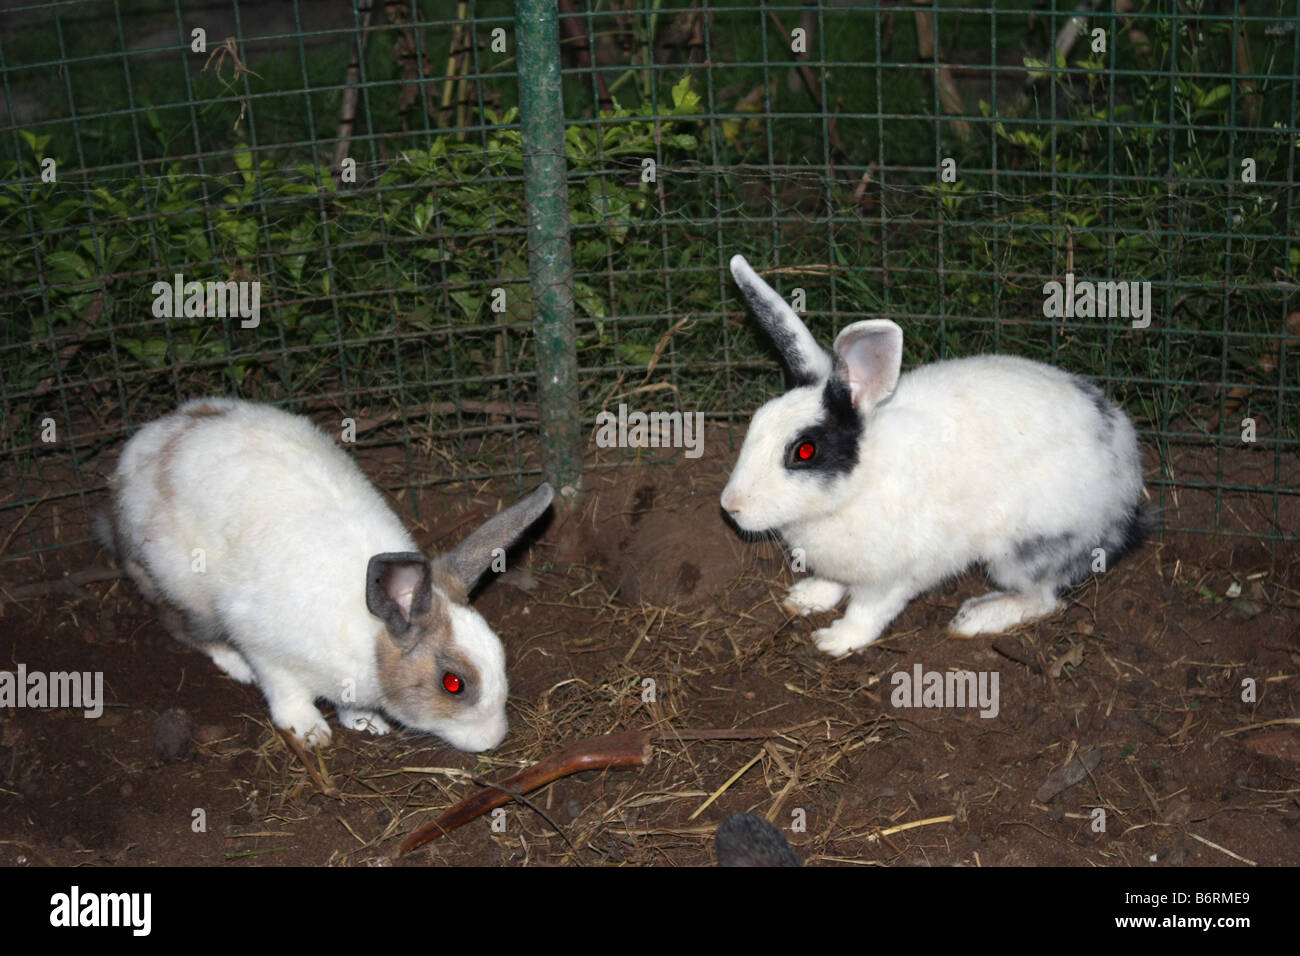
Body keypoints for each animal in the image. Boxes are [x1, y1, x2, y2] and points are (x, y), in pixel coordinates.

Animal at [100, 396, 554, 752]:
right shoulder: (266, 650)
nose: (493, 740)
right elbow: (284, 691)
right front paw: (310, 730)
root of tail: (145, 444)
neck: (372, 632)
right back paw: (234, 664)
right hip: (183, 586)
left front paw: (366, 723)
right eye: (453, 683)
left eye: (500, 654)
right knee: (180, 625)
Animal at [720, 255, 1151, 656]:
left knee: (1044, 599)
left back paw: (975, 618)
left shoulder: (893, 578)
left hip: (1024, 550)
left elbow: (867, 612)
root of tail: (1128, 477)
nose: (731, 507)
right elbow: (832, 582)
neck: (856, 488)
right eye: (756, 422)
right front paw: (804, 598)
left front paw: (834, 641)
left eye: (804, 451)